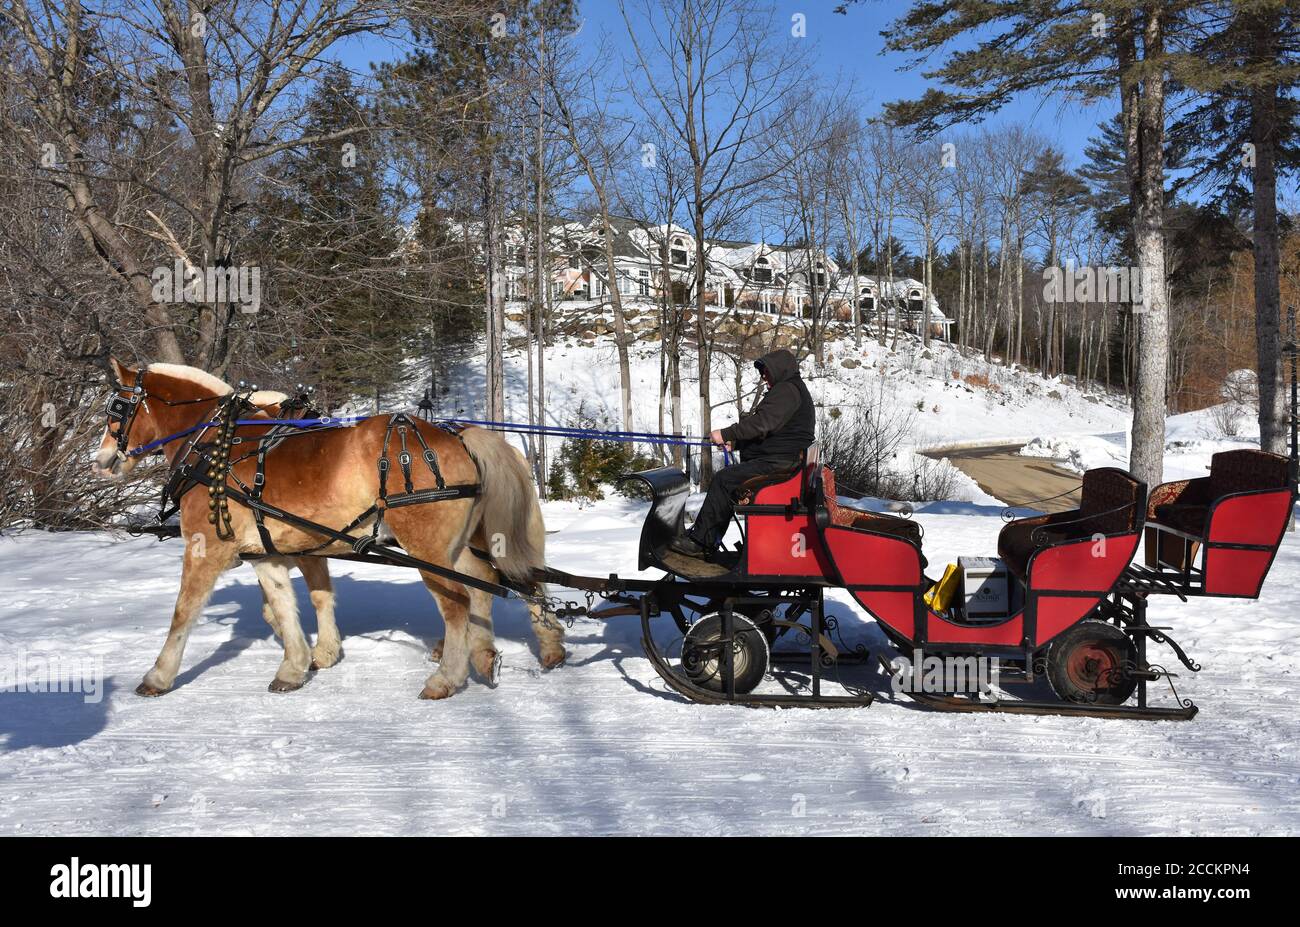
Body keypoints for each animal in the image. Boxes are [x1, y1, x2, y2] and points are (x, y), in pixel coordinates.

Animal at [92, 358, 565, 699]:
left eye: (117, 408)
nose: (102, 460)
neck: (214, 446)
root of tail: (458, 436)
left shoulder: (206, 546)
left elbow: (184, 611)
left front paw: (158, 675)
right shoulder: (268, 551)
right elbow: (284, 605)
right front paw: (299, 663)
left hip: (427, 547)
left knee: (460, 603)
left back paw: (448, 676)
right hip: (460, 544)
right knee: (488, 583)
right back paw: (487, 655)